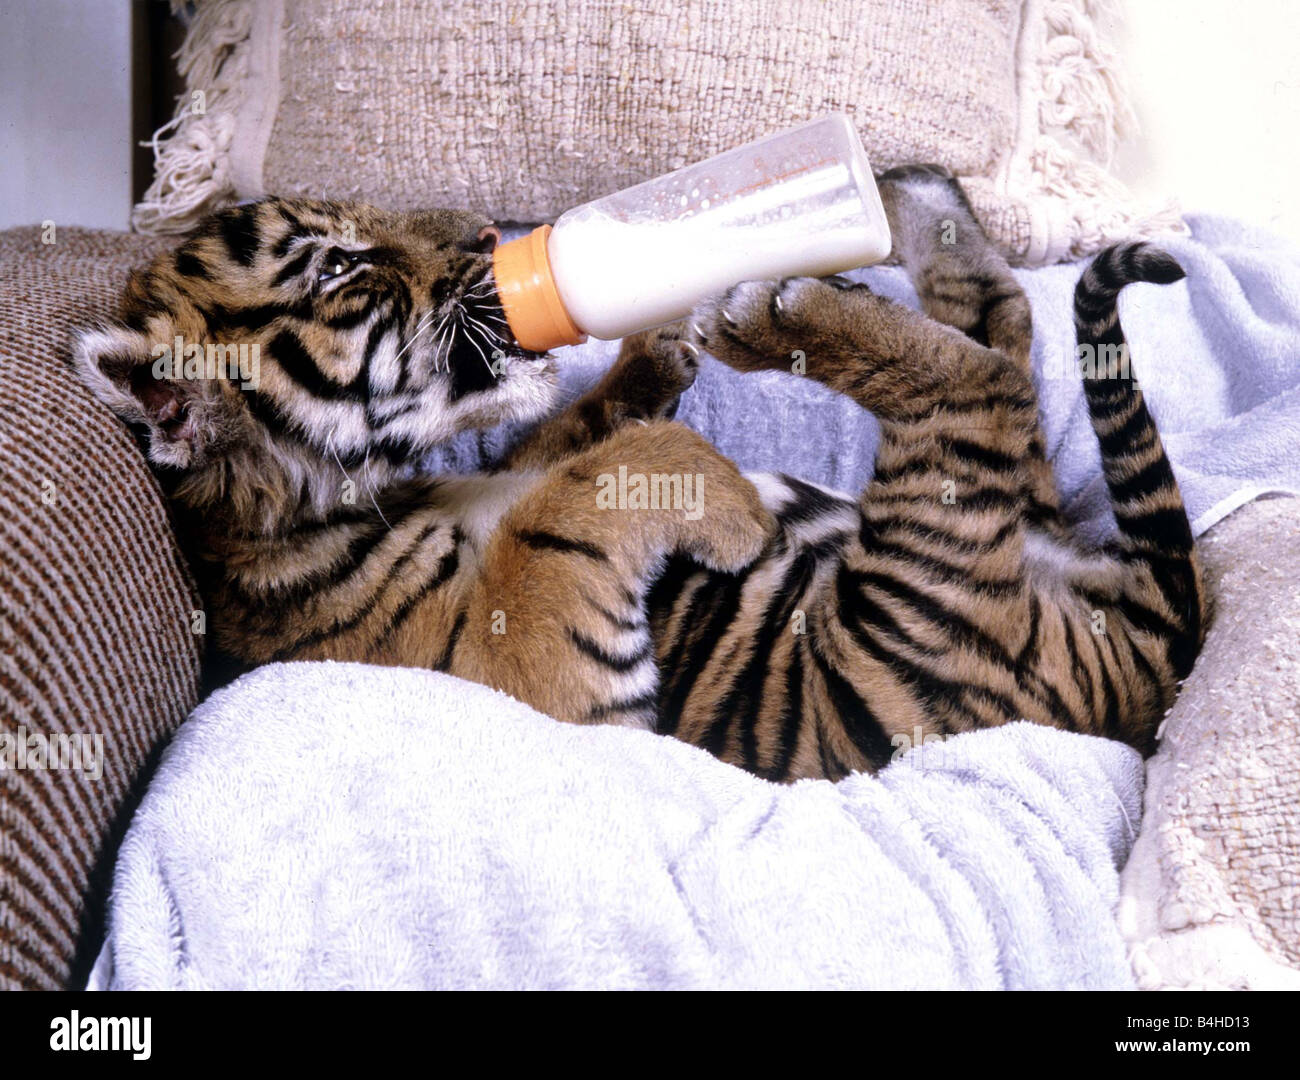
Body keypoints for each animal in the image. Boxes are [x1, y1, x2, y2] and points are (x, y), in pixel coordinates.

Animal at [73, 165, 1206, 782]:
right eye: (341, 265)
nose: (484, 234)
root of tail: (1155, 648)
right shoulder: (529, 679)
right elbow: (562, 505)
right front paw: (720, 489)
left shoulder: (503, 465)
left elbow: (558, 445)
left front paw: (648, 356)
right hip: (931, 609)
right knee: (982, 382)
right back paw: (780, 307)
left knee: (1001, 323)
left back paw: (902, 197)